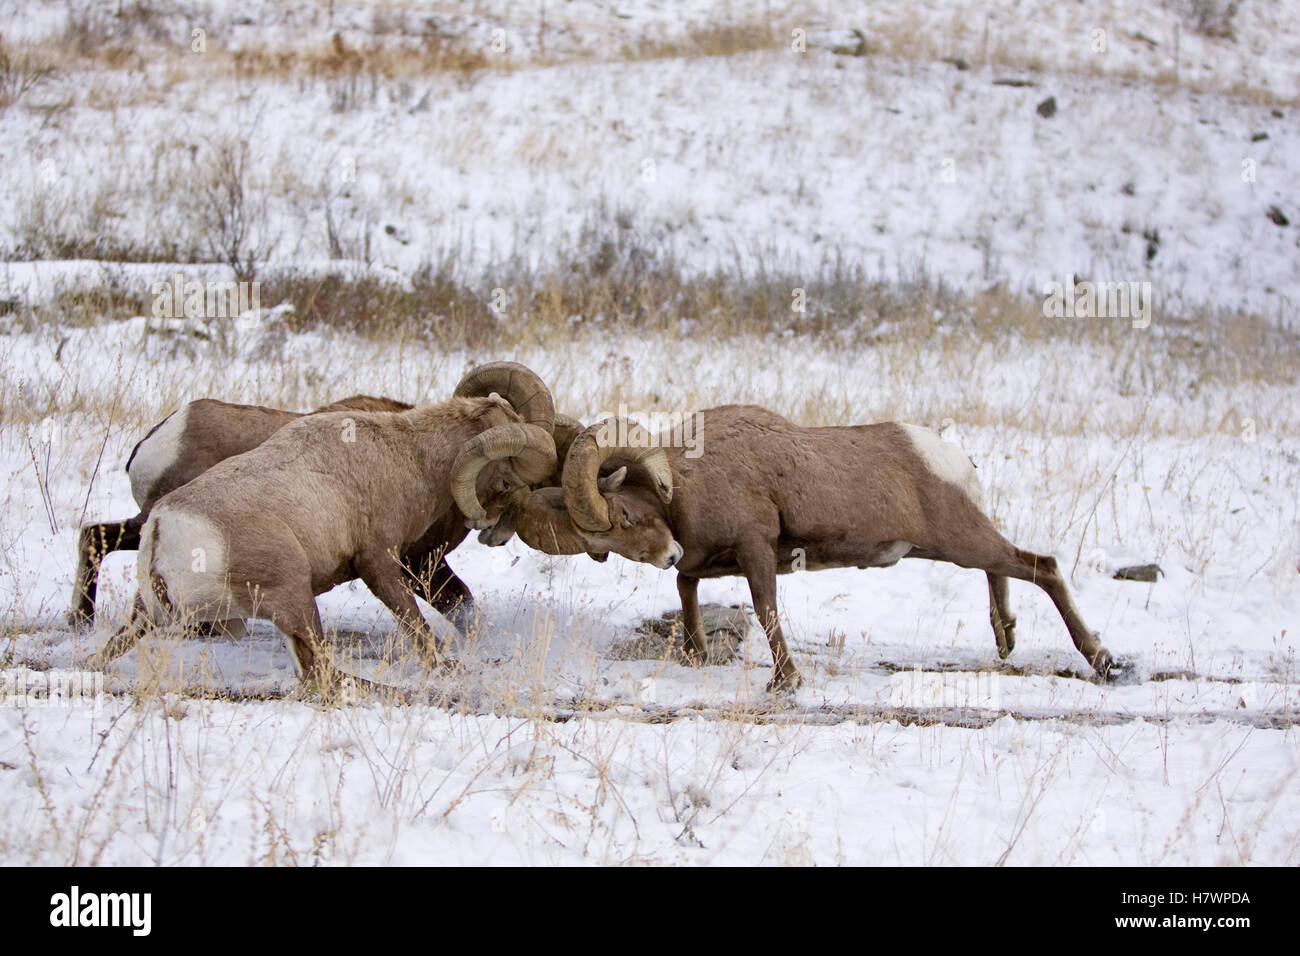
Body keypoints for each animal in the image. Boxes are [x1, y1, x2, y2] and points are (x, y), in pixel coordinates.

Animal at [83, 363, 558, 690]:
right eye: (509, 479)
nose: (495, 532)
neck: (410, 456)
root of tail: (165, 530)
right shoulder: (383, 563)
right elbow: (417, 624)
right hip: (294, 599)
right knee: (323, 675)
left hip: (147, 615)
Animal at [489, 407, 1126, 691]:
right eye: (602, 545)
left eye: (623, 514)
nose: (663, 553)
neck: (695, 480)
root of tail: (951, 458)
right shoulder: (707, 563)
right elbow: (686, 589)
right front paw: (697, 653)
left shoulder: (755, 551)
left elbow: (766, 610)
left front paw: (785, 682)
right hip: (952, 546)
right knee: (1007, 569)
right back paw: (1005, 638)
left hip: (960, 540)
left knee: (1043, 567)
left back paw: (1099, 659)